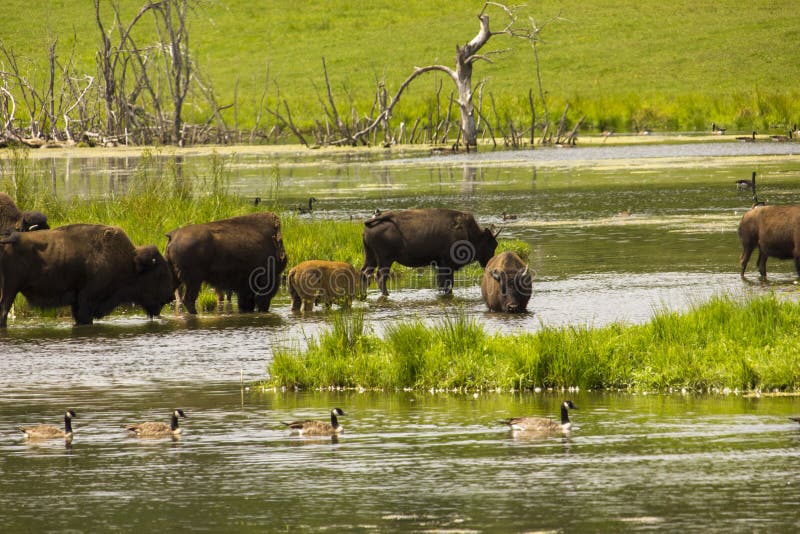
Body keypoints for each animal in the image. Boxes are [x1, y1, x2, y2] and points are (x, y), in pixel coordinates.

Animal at [361, 208, 500, 295]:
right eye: (491, 244)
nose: (489, 262)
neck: (468, 231)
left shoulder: (441, 265)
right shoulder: (446, 265)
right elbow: (447, 283)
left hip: (371, 257)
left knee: (364, 273)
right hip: (385, 260)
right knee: (380, 276)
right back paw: (386, 294)